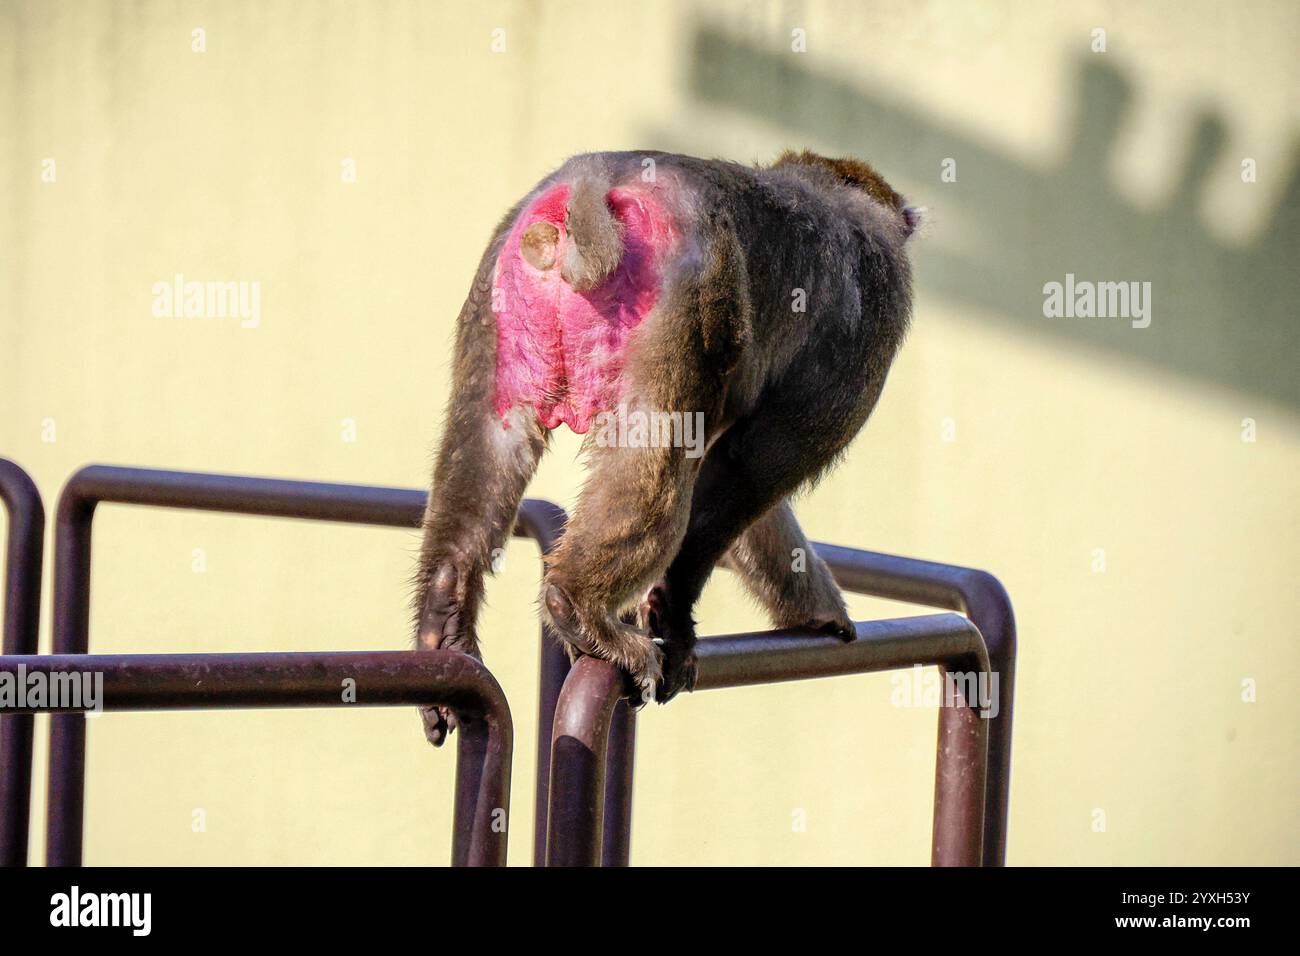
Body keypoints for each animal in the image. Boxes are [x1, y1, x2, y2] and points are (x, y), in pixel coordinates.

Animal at [412, 149, 919, 745]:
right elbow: (756, 466)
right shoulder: (869, 329)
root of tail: (600, 176)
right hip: (690, 300)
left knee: (492, 436)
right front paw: (675, 618)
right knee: (659, 452)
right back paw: (581, 607)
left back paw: (445, 617)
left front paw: (814, 608)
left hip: (496, 293)